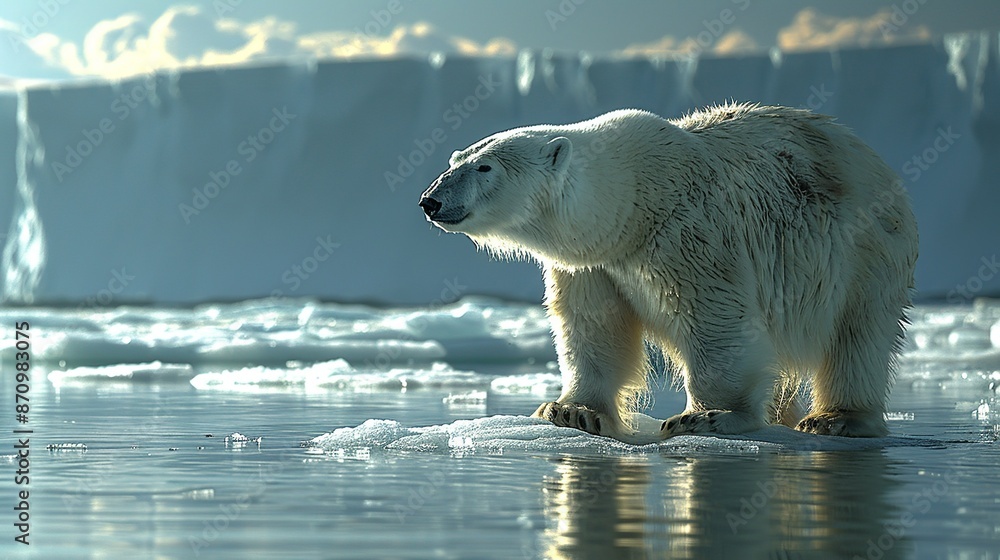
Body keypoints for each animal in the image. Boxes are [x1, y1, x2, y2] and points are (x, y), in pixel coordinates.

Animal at [419, 102, 918, 443]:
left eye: (485, 166)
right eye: (454, 162)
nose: (431, 201)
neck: (636, 203)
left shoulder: (692, 234)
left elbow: (716, 320)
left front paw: (707, 416)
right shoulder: (592, 264)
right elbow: (593, 328)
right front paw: (571, 411)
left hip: (863, 251)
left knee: (858, 334)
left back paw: (836, 418)